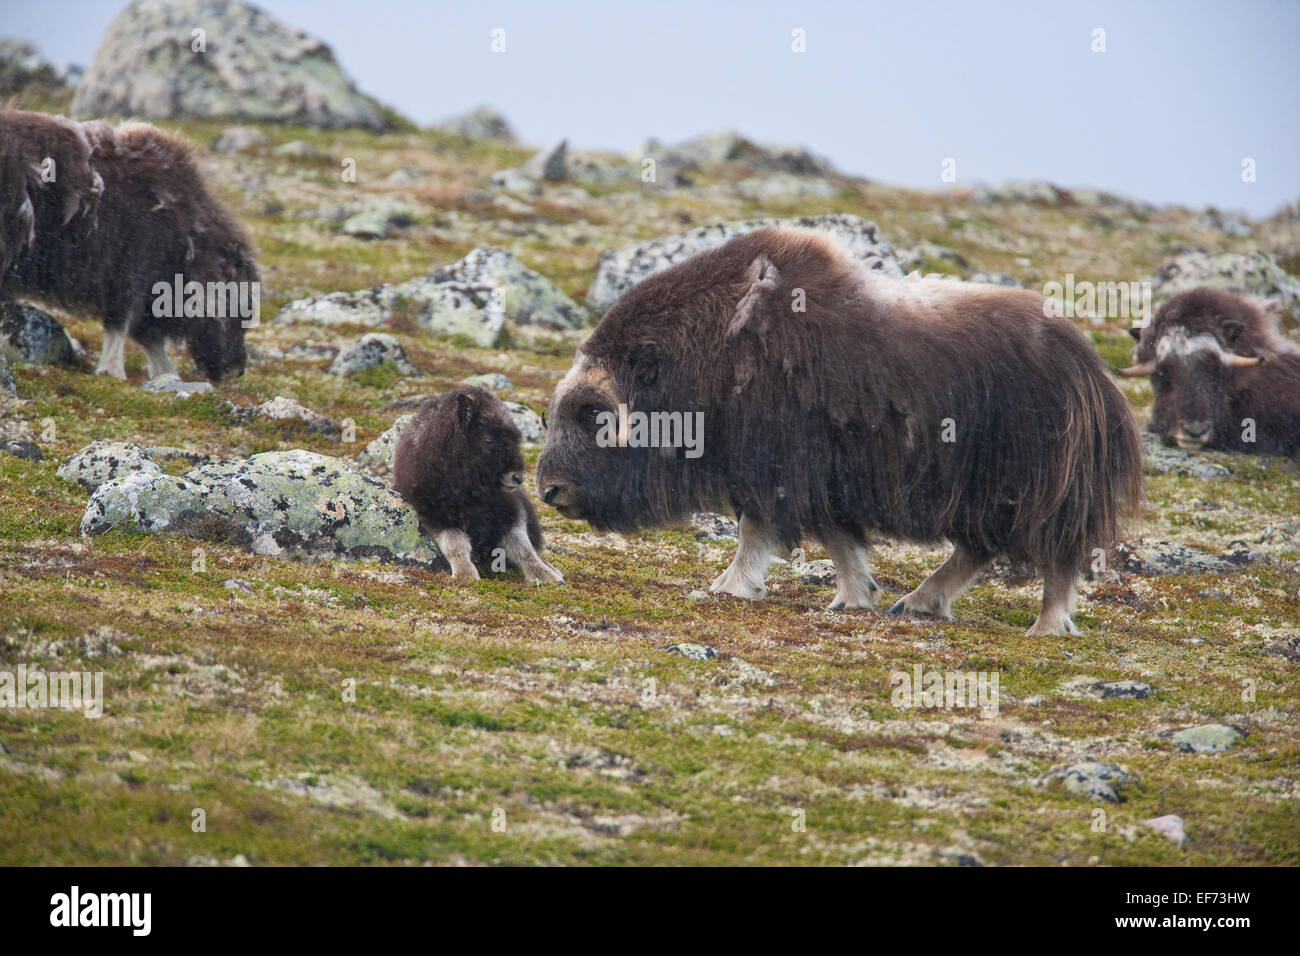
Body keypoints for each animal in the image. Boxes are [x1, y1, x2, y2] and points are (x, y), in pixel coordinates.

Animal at [0, 108, 257, 382]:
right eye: (242, 306)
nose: (236, 370)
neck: (189, 240)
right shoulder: (129, 273)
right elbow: (121, 324)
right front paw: (114, 371)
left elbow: (146, 335)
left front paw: (165, 373)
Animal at [392, 386, 564, 583]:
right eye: (488, 439)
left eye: (516, 439)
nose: (518, 477)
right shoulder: (434, 513)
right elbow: (455, 543)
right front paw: (466, 574)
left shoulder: (509, 511)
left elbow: (522, 546)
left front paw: (547, 575)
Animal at [536, 227, 1142, 636]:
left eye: (592, 412)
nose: (548, 491)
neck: (709, 353)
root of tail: (1090, 369)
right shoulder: (818, 476)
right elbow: (837, 538)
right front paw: (855, 597)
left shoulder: (778, 466)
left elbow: (757, 530)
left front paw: (729, 586)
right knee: (979, 548)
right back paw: (918, 601)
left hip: (1041, 488)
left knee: (1055, 555)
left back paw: (1045, 626)